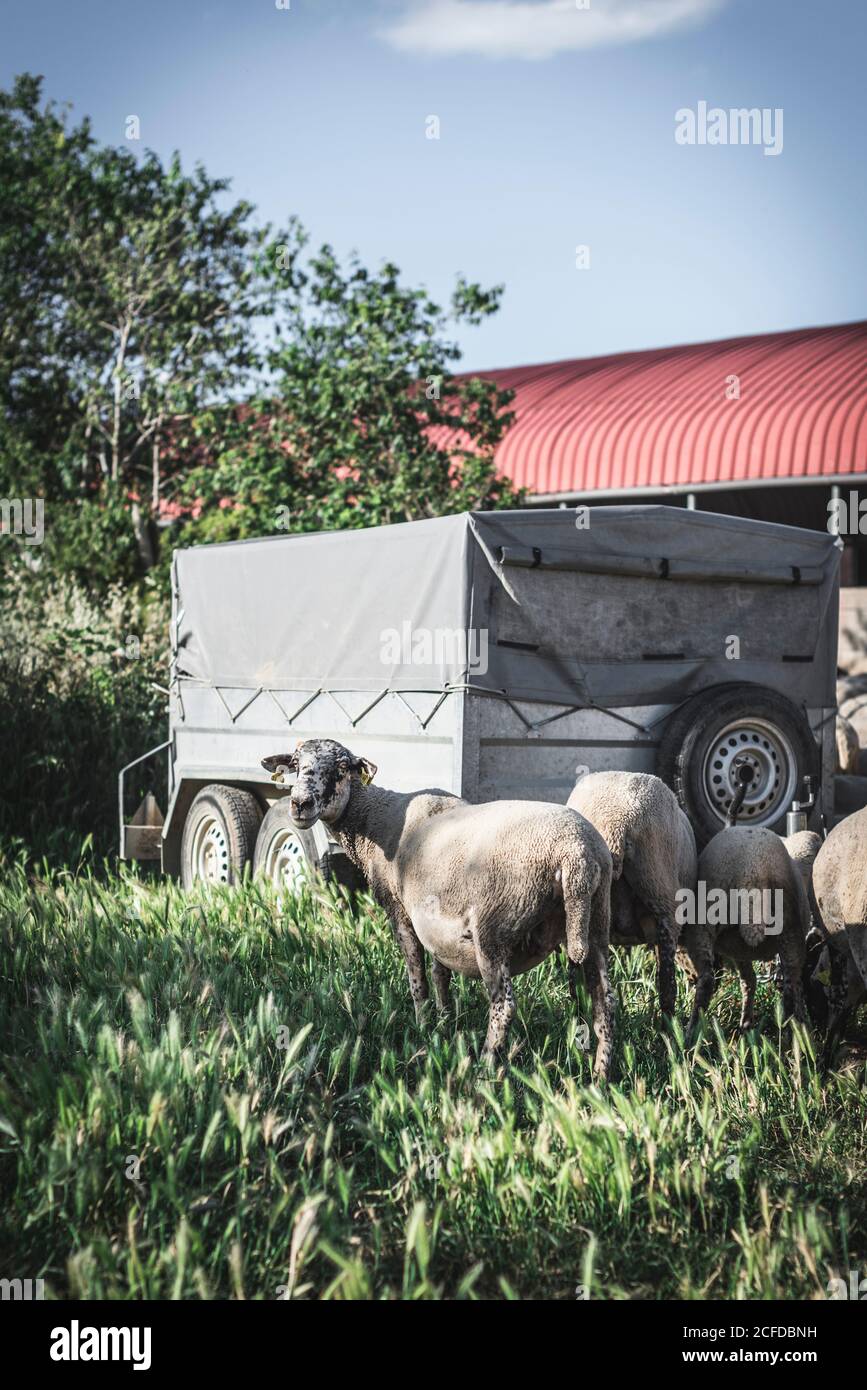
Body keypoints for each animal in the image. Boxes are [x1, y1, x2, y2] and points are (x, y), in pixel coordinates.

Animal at [261, 739, 616, 1077]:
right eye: (296, 765)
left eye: (341, 769)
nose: (299, 804)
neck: (375, 823)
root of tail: (576, 852)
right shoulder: (433, 922)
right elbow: (439, 973)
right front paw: (445, 1023)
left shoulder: (401, 912)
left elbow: (417, 978)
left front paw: (423, 1025)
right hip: (597, 921)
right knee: (605, 1002)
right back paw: (600, 1077)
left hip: (494, 928)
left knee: (504, 1005)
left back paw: (485, 1069)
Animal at [566, 771, 697, 1018]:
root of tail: (617, 823)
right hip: (662, 893)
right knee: (667, 985)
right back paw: (669, 1024)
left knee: (579, 978)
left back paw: (579, 1017)